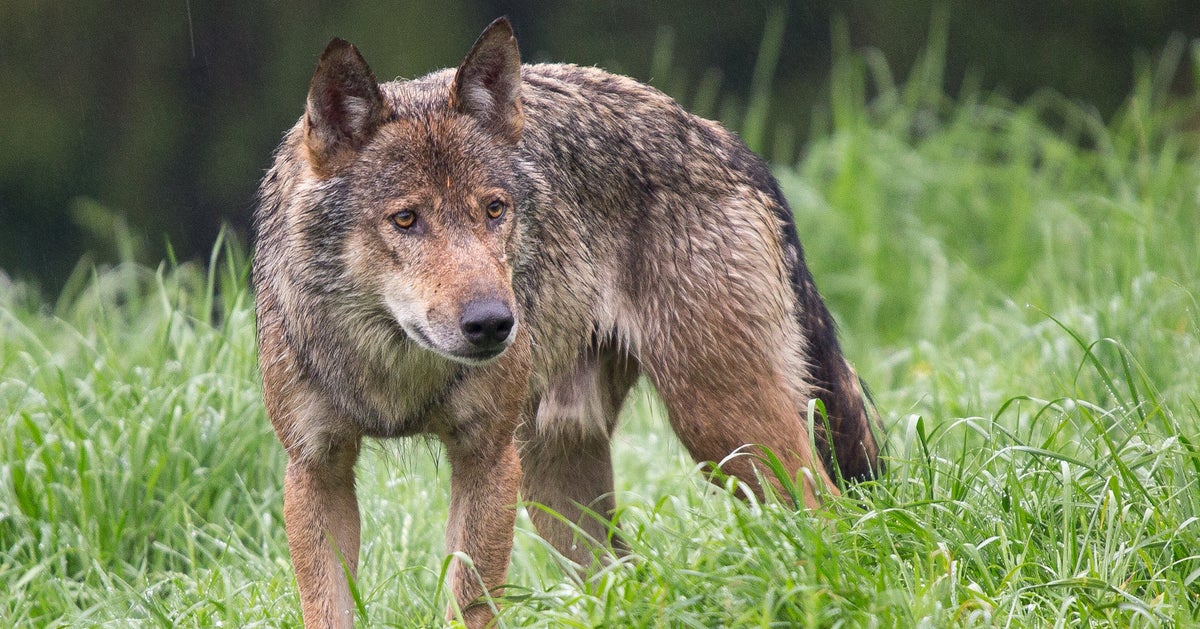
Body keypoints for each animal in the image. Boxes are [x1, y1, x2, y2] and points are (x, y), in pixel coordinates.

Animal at [253, 17, 881, 628]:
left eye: (495, 210)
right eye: (405, 220)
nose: (493, 323)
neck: (393, 367)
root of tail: (722, 137)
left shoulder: (487, 459)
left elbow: (469, 604)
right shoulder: (317, 471)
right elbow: (326, 609)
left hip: (721, 431)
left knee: (830, 512)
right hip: (556, 483)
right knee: (630, 577)